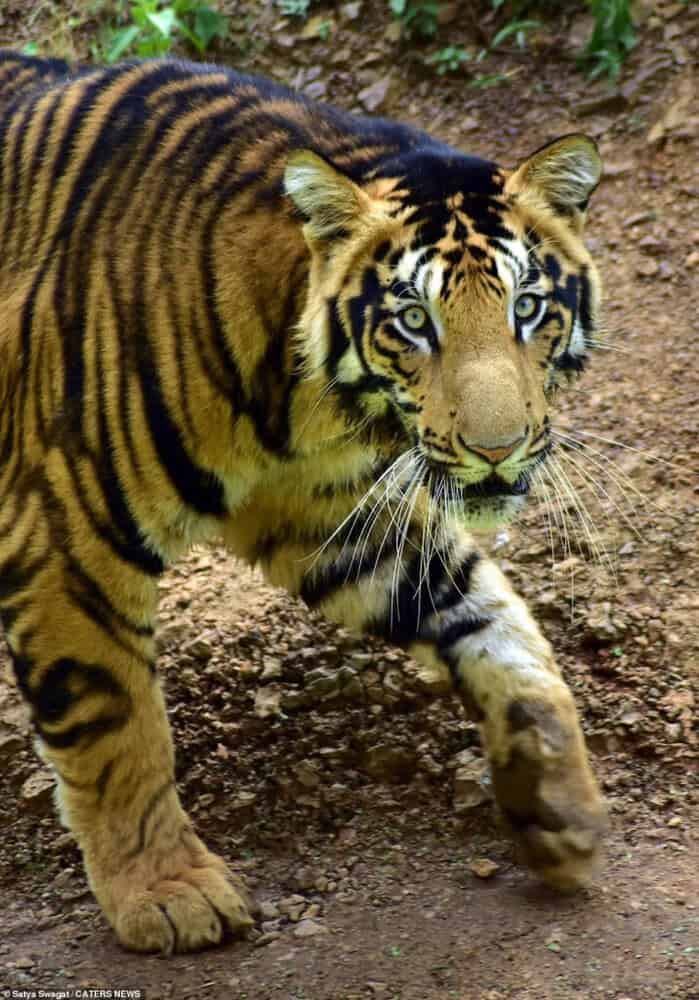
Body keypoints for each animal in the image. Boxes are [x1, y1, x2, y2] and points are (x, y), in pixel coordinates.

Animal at [0, 49, 608, 954]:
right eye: (413, 320)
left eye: (526, 308)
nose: (495, 449)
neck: (306, 408)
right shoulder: (66, 529)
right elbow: (115, 724)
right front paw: (168, 894)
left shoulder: (335, 518)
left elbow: (491, 621)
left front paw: (557, 802)